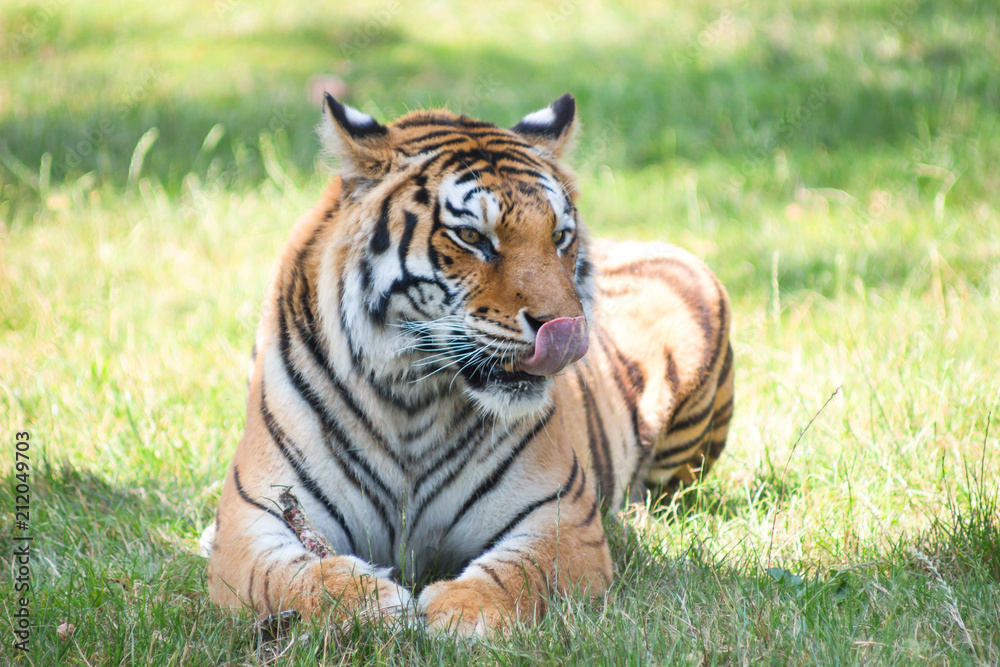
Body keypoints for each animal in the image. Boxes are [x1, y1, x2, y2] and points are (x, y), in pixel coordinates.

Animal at [200, 93, 734, 636]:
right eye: (472, 237)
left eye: (560, 236)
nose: (567, 329)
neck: (410, 396)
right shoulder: (253, 518)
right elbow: (295, 579)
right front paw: (373, 603)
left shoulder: (560, 514)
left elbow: (522, 573)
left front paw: (457, 611)